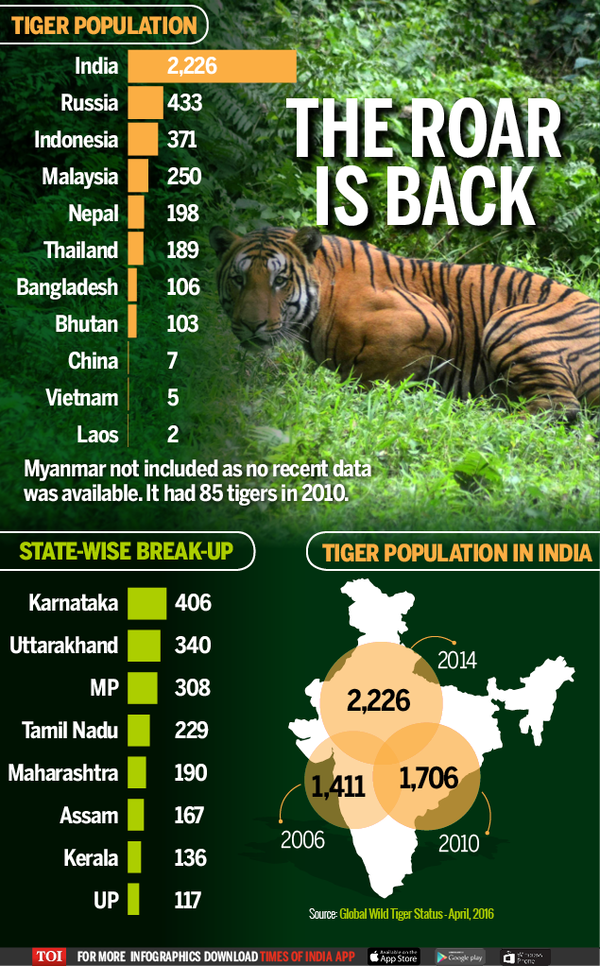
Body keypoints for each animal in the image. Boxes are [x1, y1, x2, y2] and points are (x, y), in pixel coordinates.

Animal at [209, 225, 600, 419]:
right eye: (239, 279)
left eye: (279, 280)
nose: (252, 325)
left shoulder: (429, 322)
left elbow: (371, 377)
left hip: (510, 321)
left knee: (559, 408)